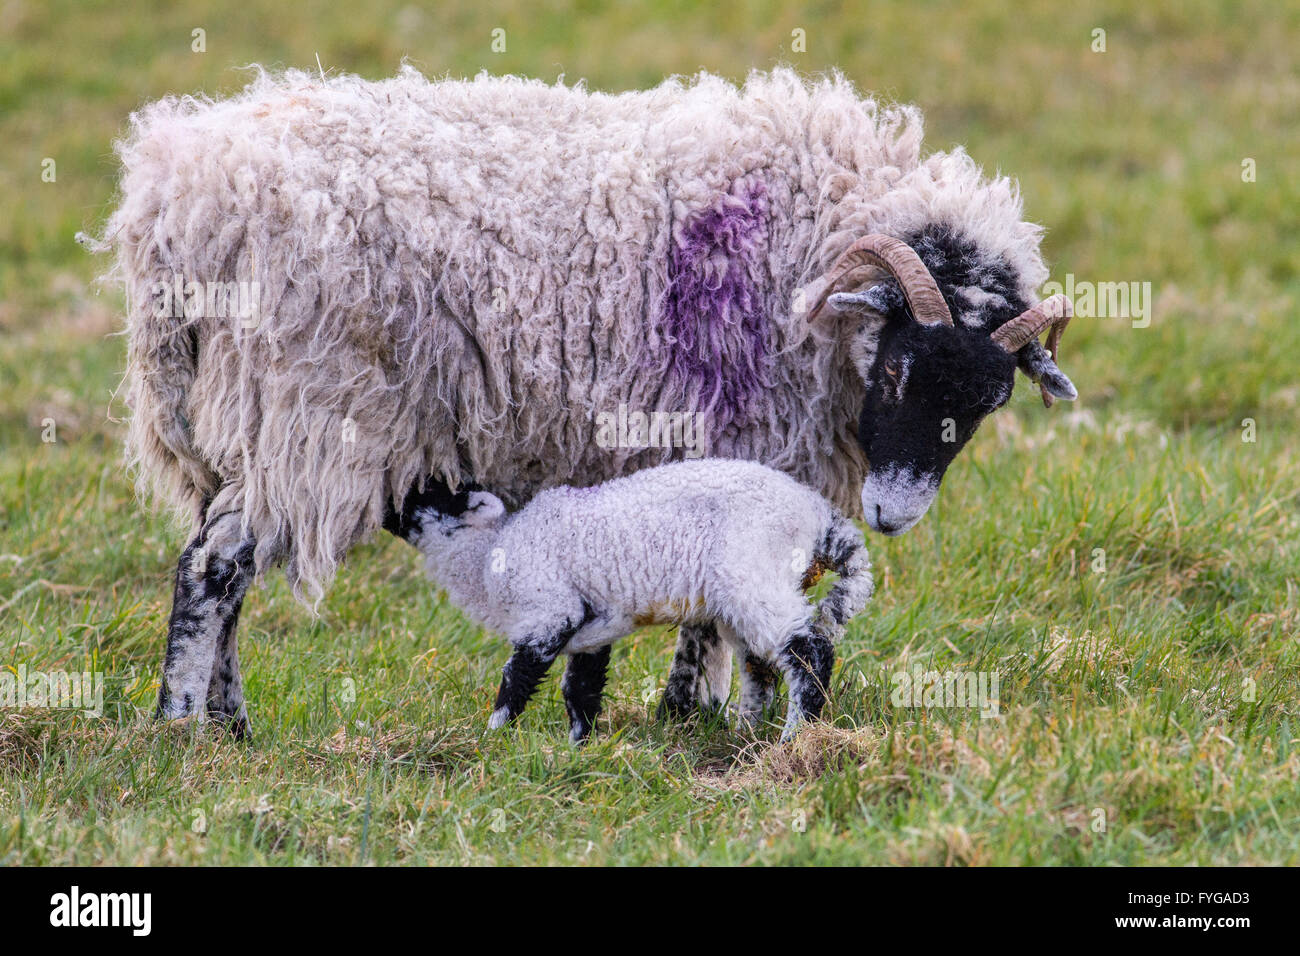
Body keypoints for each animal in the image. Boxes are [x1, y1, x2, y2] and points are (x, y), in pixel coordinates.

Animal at [405, 459, 873, 742]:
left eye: (425, 491)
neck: (487, 553)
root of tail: (819, 514)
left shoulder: (549, 611)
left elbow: (517, 679)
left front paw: (492, 738)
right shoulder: (593, 626)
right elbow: (581, 687)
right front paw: (579, 748)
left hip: (754, 574)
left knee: (811, 652)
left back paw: (795, 737)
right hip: (745, 595)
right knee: (760, 668)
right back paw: (747, 733)